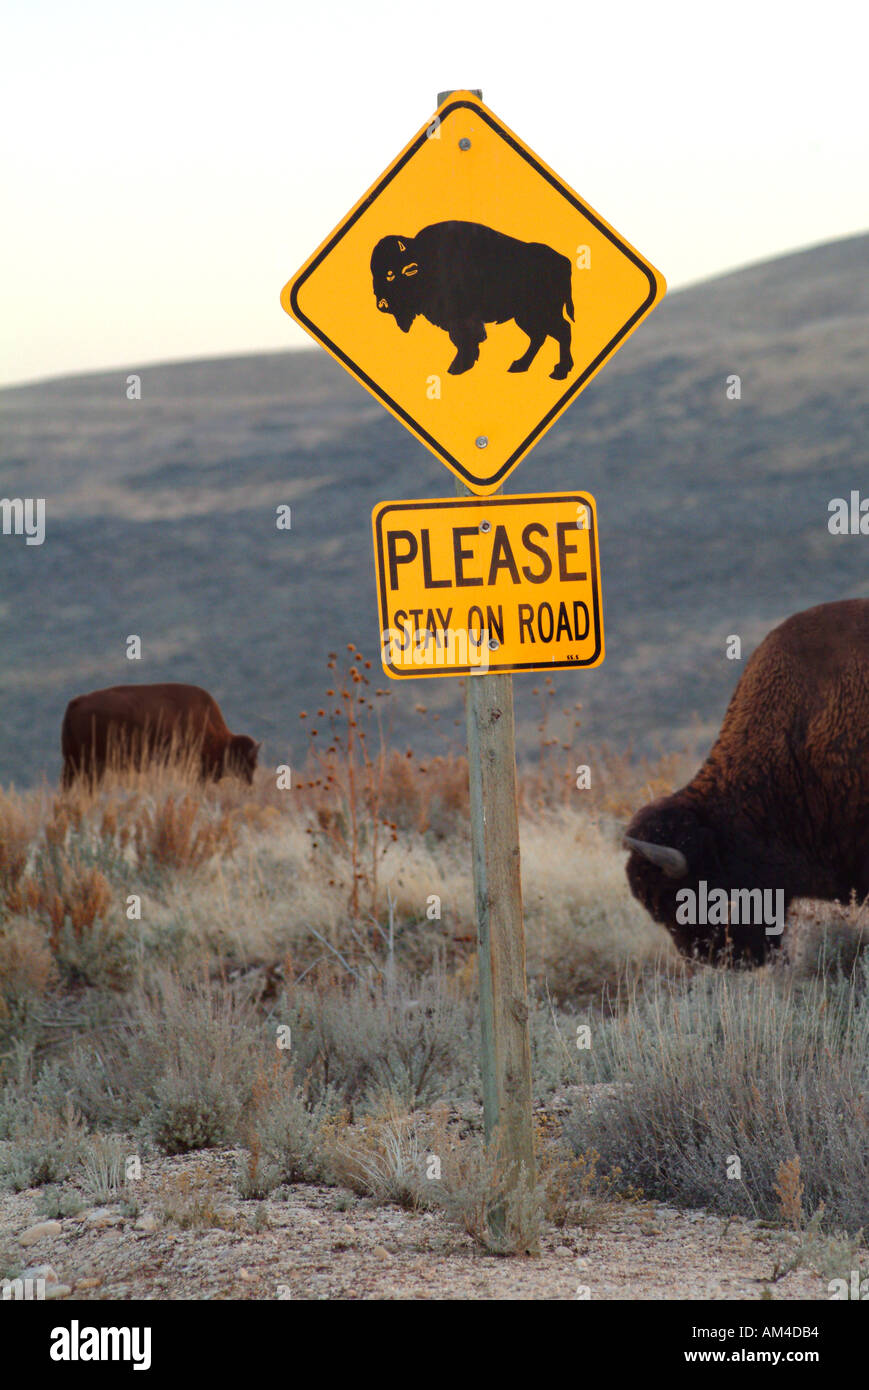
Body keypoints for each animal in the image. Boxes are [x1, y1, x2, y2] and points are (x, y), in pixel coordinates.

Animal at [370, 220, 575, 379]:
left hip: (540, 314)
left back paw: (559, 372)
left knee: (562, 330)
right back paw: (521, 365)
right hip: (526, 317)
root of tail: (564, 261)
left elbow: (465, 340)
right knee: (541, 336)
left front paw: (456, 368)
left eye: (390, 274)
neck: (424, 261)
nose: (382, 304)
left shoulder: (460, 318)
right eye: (375, 274)